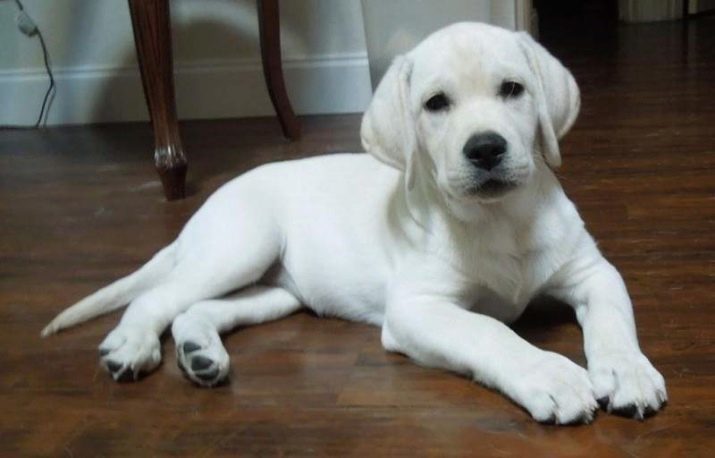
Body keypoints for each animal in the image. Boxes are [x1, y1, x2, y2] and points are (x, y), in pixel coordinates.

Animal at [43, 21, 664, 422]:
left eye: (513, 89)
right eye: (436, 104)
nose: (486, 149)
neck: (500, 219)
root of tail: (208, 206)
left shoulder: (592, 272)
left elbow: (614, 322)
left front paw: (628, 372)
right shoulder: (417, 309)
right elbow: (490, 332)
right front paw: (550, 375)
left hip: (278, 291)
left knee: (196, 309)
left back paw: (200, 354)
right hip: (240, 246)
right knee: (157, 298)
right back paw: (130, 346)